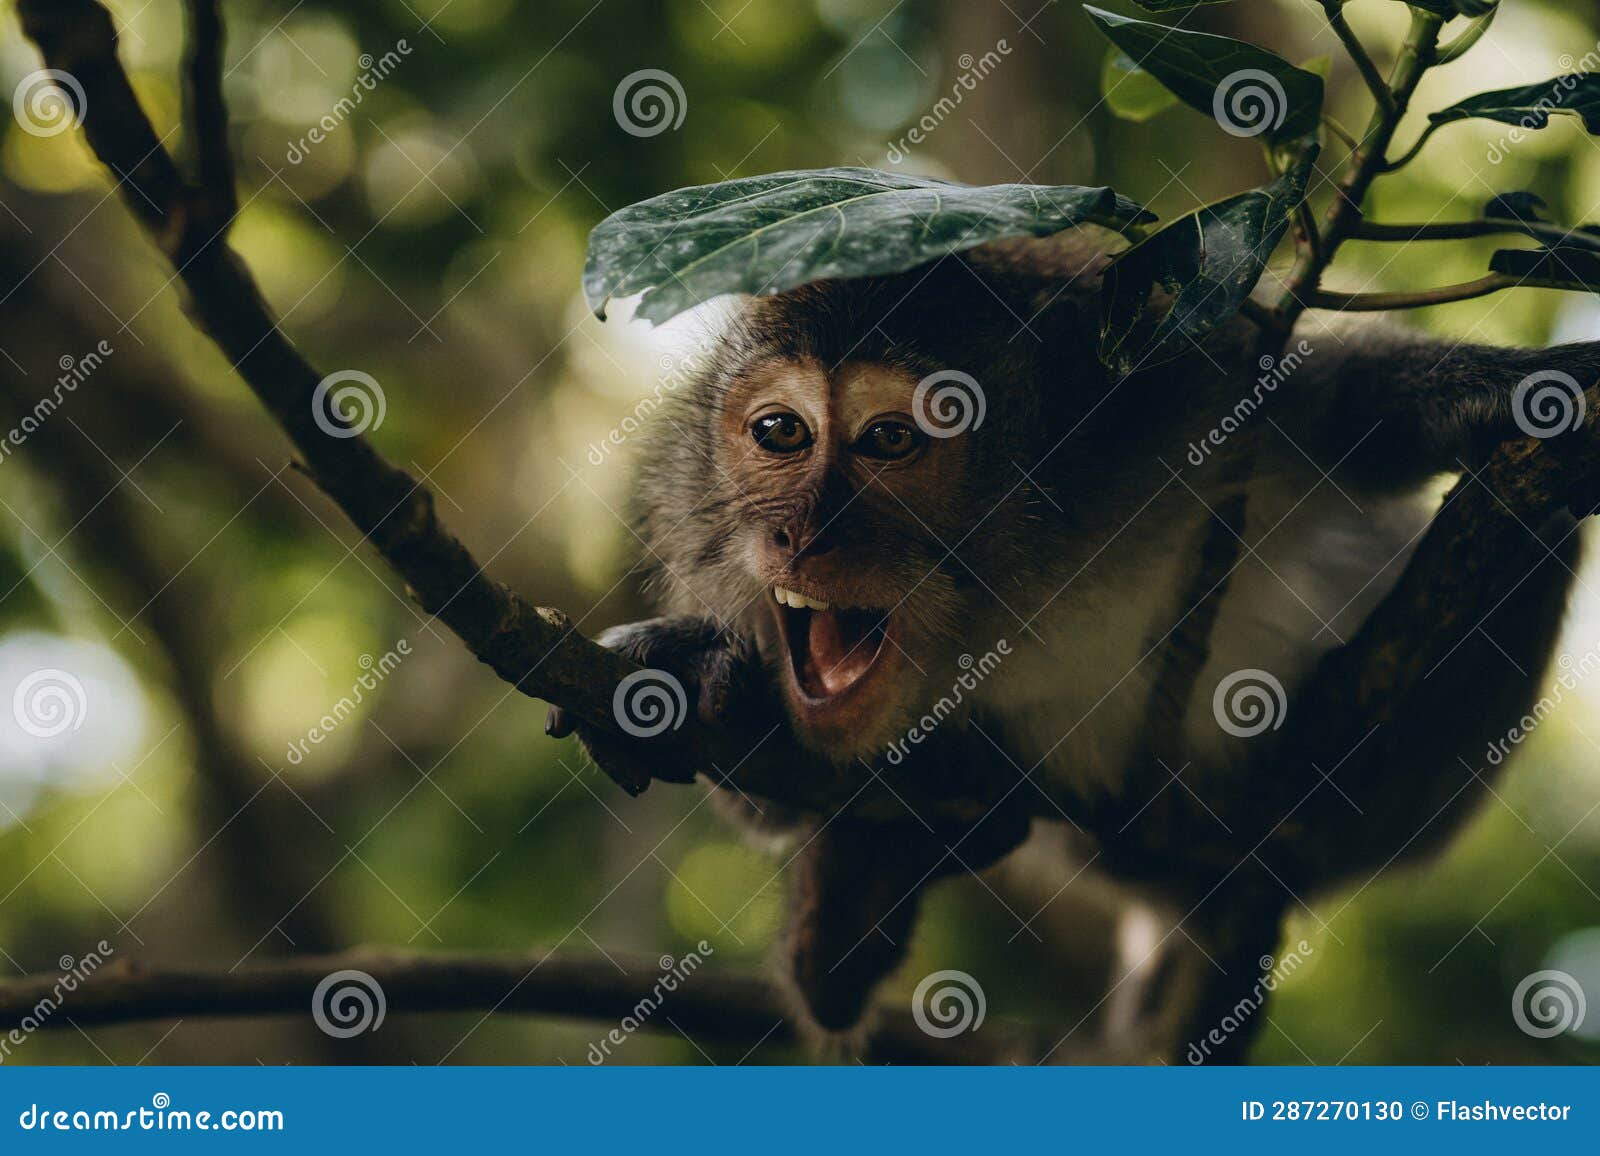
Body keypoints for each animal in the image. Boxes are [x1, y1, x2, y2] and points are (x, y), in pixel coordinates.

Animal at [545, 228, 1600, 1063]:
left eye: (888, 441)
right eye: (779, 432)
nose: (802, 535)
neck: (1010, 600)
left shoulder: (1170, 387)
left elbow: (1331, 404)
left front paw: (1491, 392)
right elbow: (765, 789)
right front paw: (696, 672)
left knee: (1535, 532)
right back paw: (866, 893)